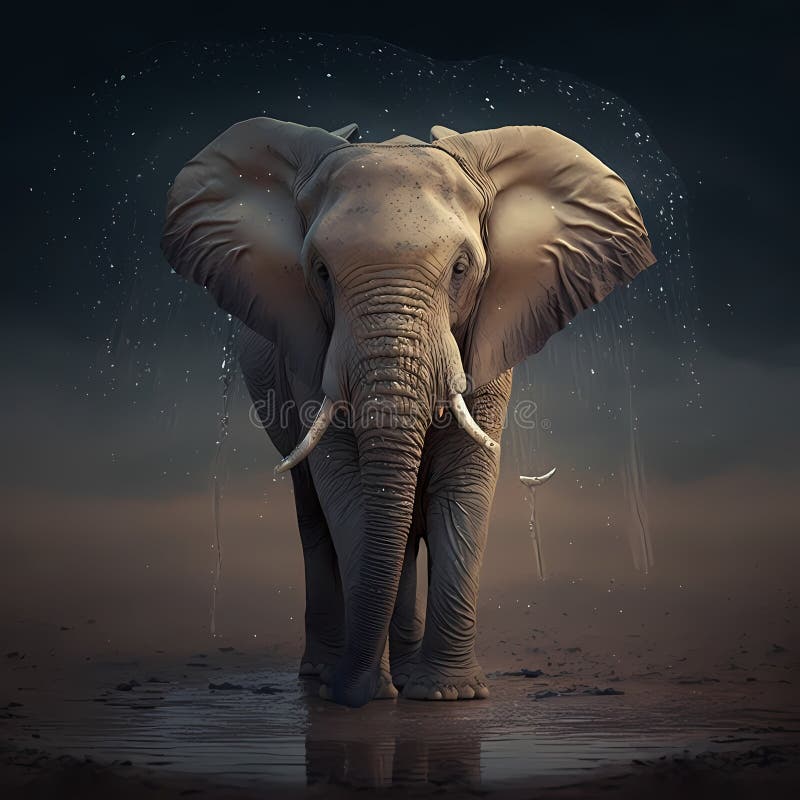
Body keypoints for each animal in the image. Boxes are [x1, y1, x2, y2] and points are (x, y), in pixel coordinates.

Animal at [161, 117, 655, 707]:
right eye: (320, 272)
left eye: (462, 269)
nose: (347, 696)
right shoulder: (310, 347)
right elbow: (345, 485)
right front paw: (371, 691)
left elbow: (464, 481)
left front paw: (448, 696)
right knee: (317, 515)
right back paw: (326, 673)